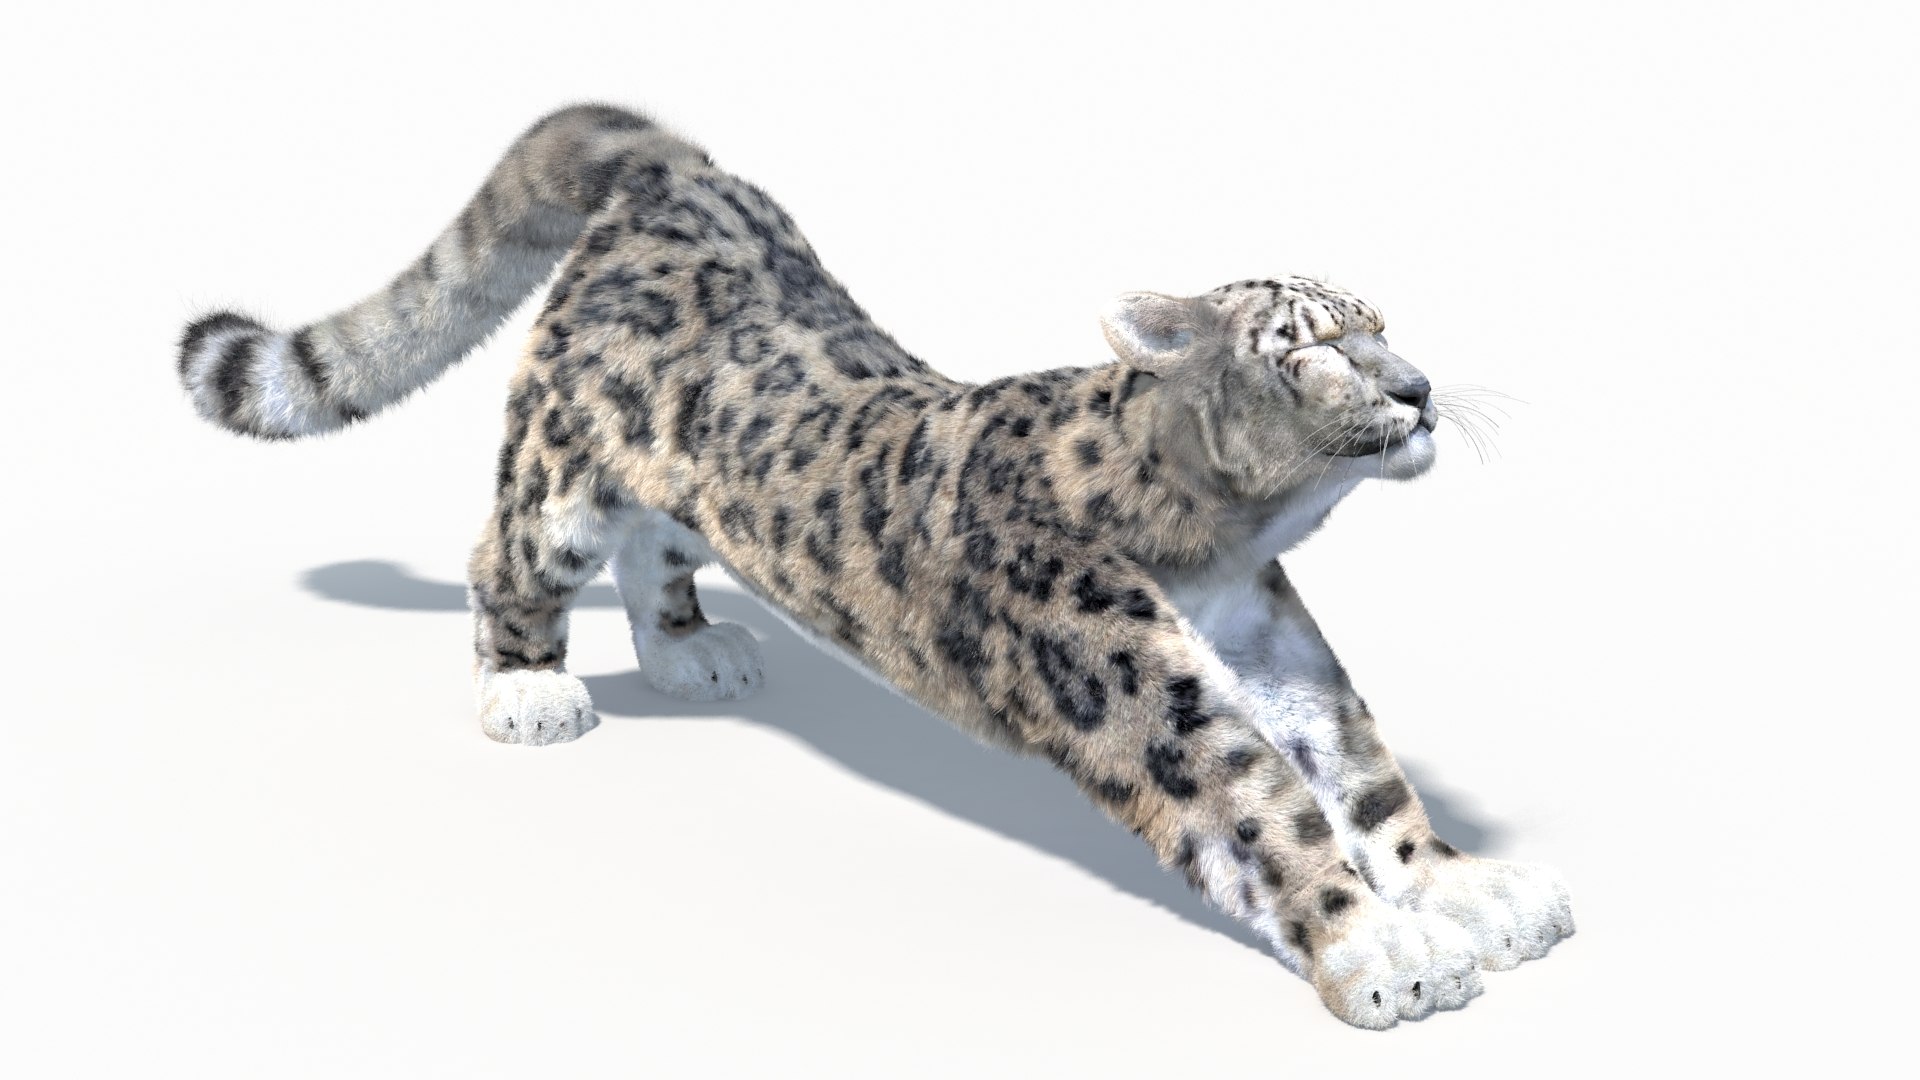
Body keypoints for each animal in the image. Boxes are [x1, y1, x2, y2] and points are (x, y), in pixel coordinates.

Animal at [176, 103, 1573, 1028]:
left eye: (1385, 321)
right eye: (1314, 344)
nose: (1418, 387)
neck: (1227, 546)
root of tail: (680, 179)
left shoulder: (1276, 654)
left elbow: (1362, 773)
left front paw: (1477, 893)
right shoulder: (1152, 688)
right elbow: (1263, 803)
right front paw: (1386, 955)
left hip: (689, 486)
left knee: (658, 549)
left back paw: (694, 651)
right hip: (561, 469)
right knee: (506, 553)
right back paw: (528, 689)